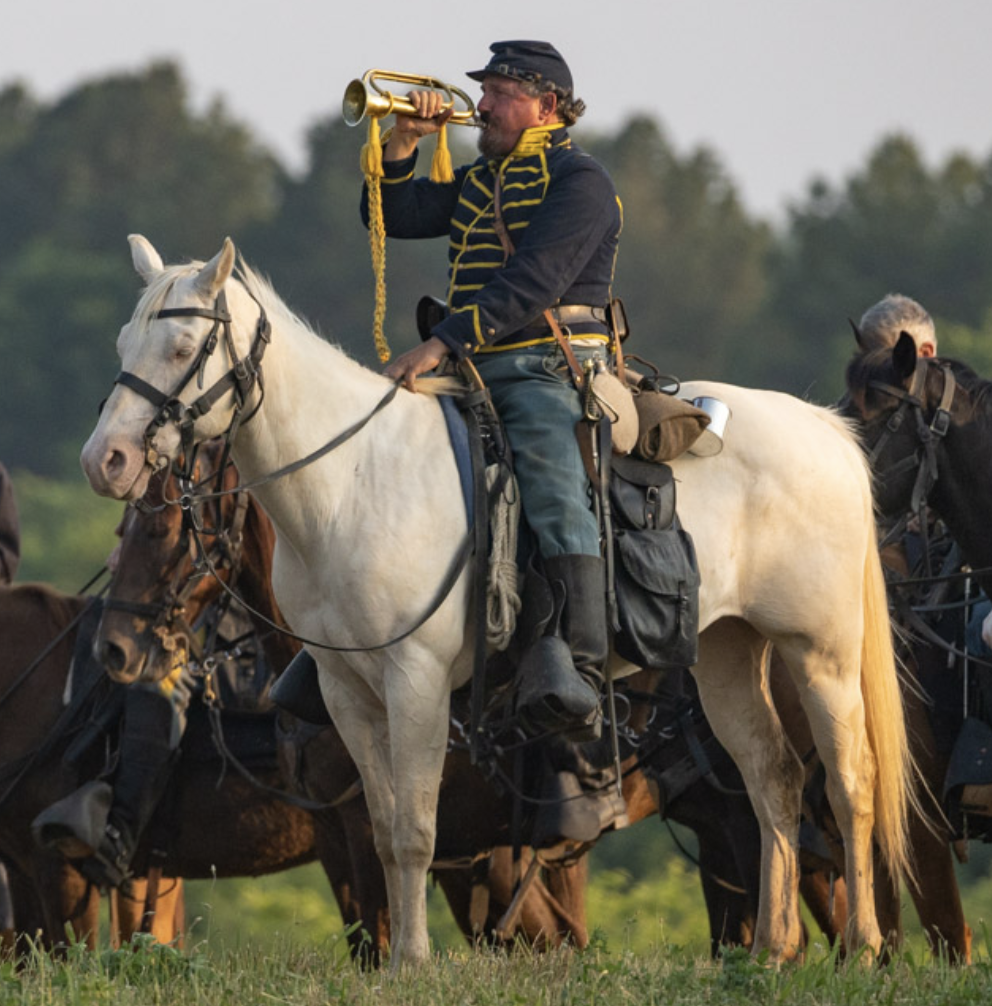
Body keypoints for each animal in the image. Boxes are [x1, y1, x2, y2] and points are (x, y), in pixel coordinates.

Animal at [80, 234, 913, 965]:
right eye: (121, 344)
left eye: (182, 349)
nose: (105, 461)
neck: (352, 481)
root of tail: (827, 430)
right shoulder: (350, 693)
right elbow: (386, 829)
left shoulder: (416, 682)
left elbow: (415, 831)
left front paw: (414, 963)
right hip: (727, 653)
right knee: (773, 779)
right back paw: (773, 950)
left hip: (822, 652)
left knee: (850, 784)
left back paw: (867, 947)